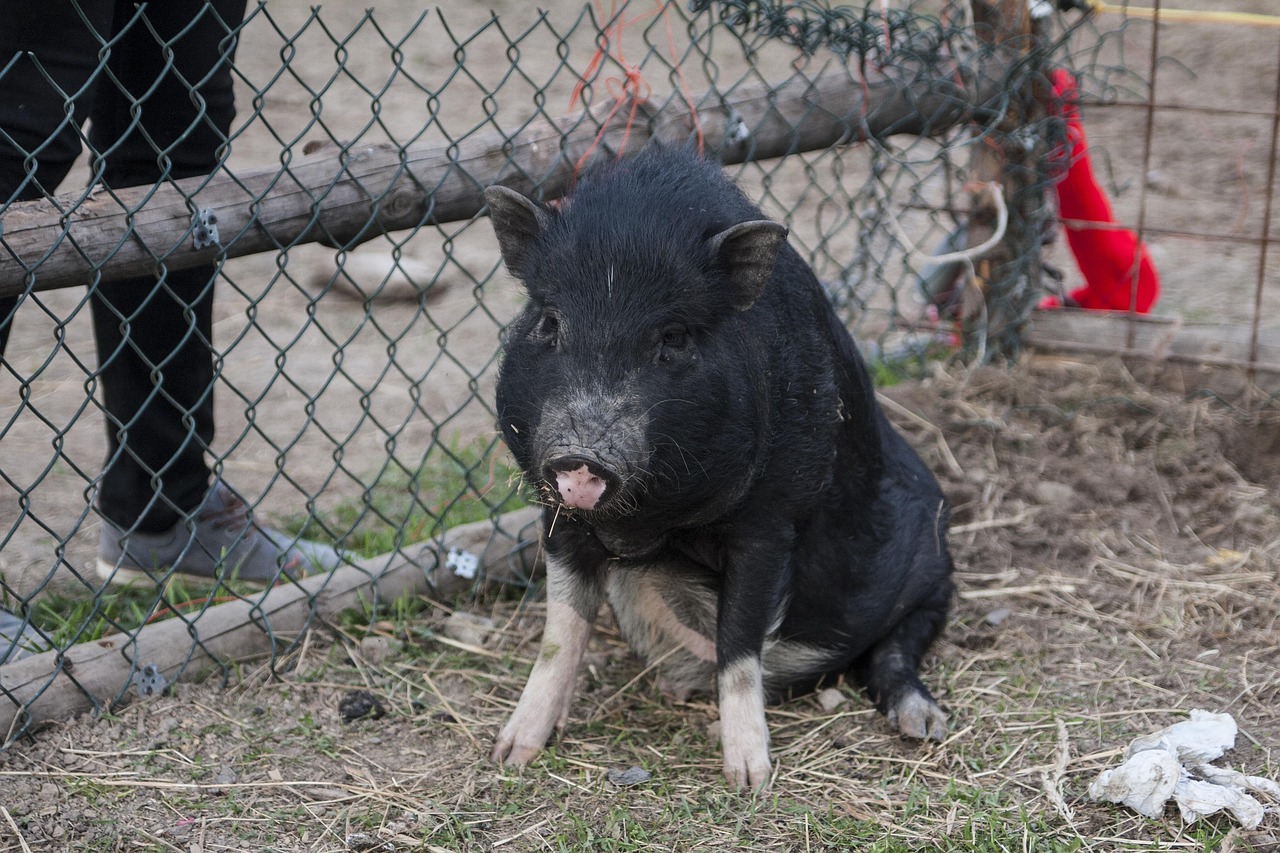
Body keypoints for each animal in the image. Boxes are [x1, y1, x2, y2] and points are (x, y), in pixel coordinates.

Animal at [484, 147, 954, 790]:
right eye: (551, 323)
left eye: (674, 335)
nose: (580, 458)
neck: (649, 524)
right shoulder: (560, 520)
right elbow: (562, 632)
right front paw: (508, 757)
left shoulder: (771, 521)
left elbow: (739, 642)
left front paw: (750, 779)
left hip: (934, 556)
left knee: (898, 648)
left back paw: (925, 725)